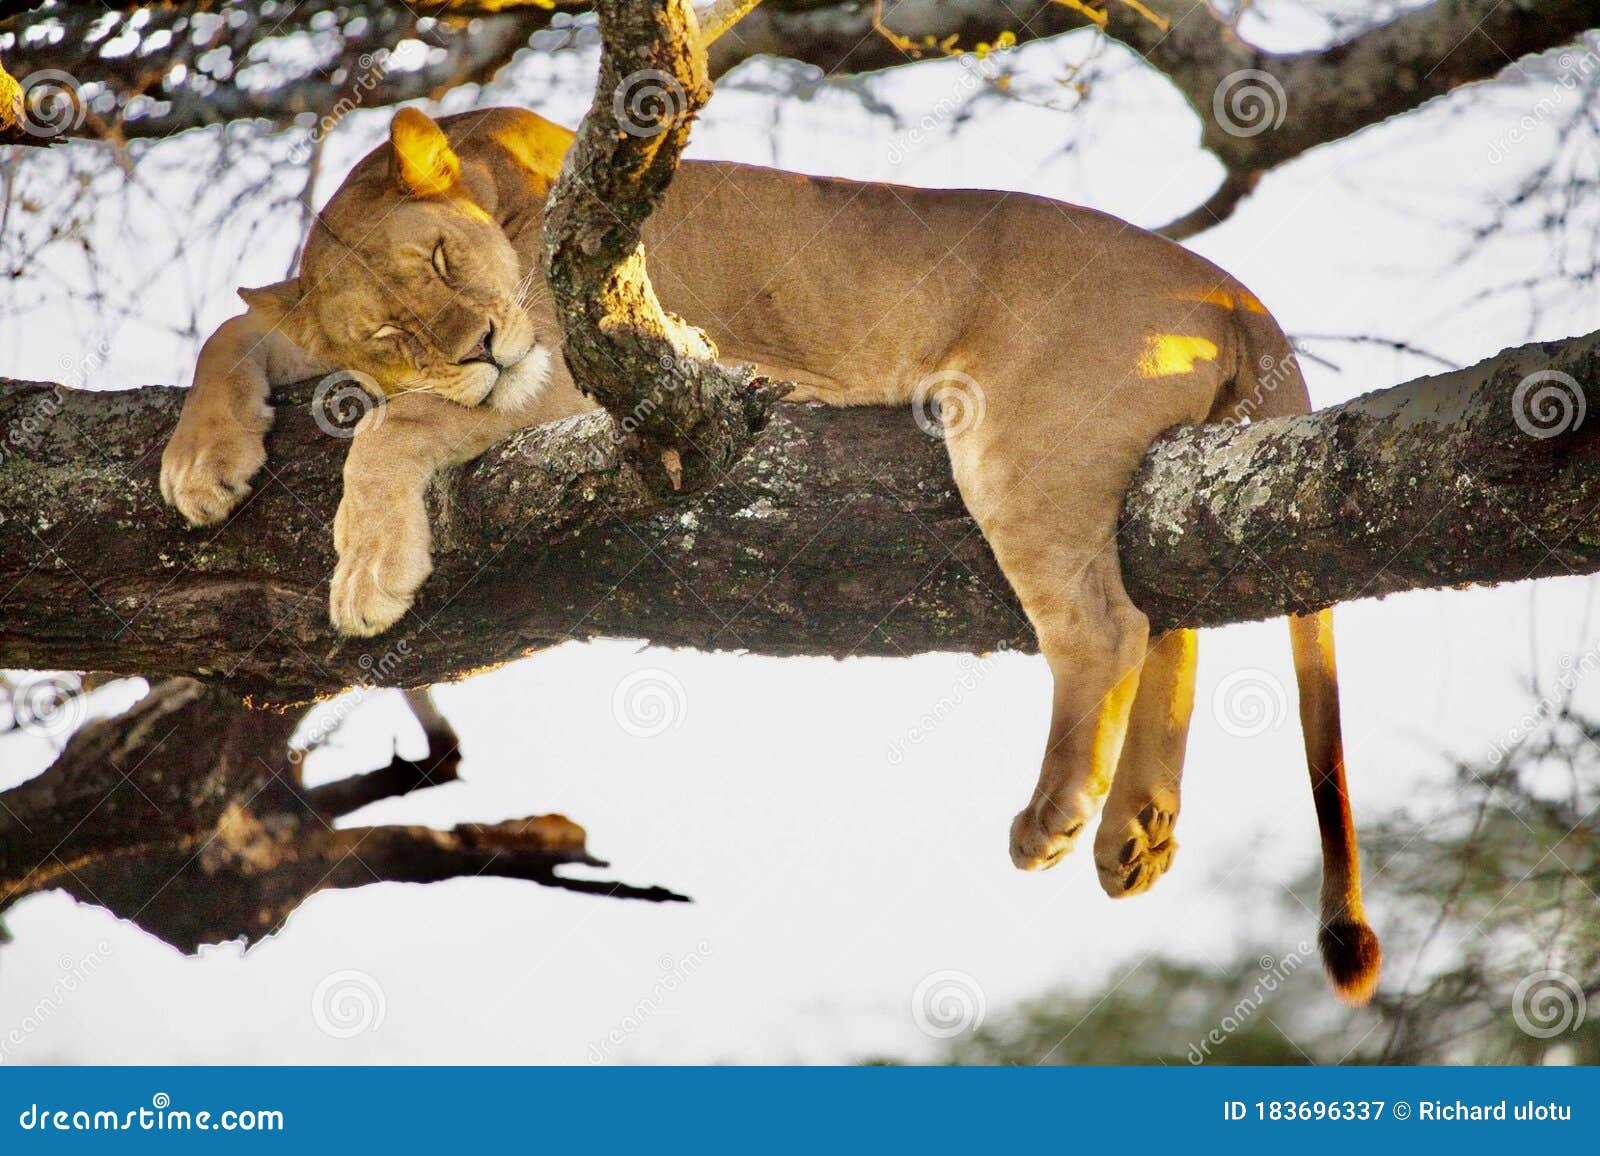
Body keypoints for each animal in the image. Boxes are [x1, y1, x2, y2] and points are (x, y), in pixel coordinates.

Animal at [159, 106, 1381, 1003]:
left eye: (450, 260)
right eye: (388, 329)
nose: (481, 347)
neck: (500, 192)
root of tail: (1227, 284)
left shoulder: (579, 374)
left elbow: (393, 426)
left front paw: (368, 570)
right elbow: (238, 333)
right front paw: (199, 463)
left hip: (1021, 442)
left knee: (1105, 624)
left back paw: (1057, 815)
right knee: (1169, 615)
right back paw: (1137, 833)